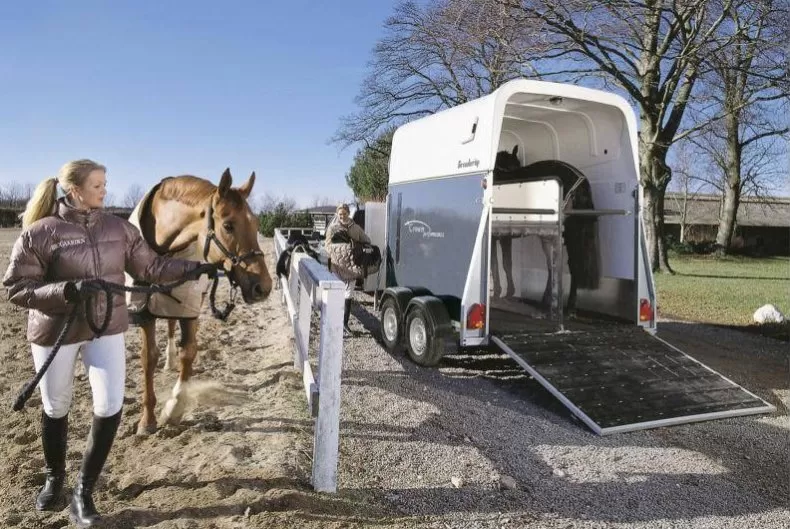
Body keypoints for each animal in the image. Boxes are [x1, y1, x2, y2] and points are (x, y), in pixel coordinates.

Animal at [133, 168, 272, 434]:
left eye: (257, 224)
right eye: (228, 225)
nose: (264, 287)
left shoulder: (188, 307)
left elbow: (189, 352)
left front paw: (173, 409)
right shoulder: (143, 311)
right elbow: (148, 358)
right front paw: (147, 420)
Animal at [378, 78, 780, 434]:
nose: (501, 175)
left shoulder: (501, 239)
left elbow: (499, 266)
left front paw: (501, 293)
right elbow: (505, 266)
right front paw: (508, 293)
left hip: (556, 236)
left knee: (557, 269)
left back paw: (552, 303)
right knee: (568, 270)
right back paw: (566, 307)